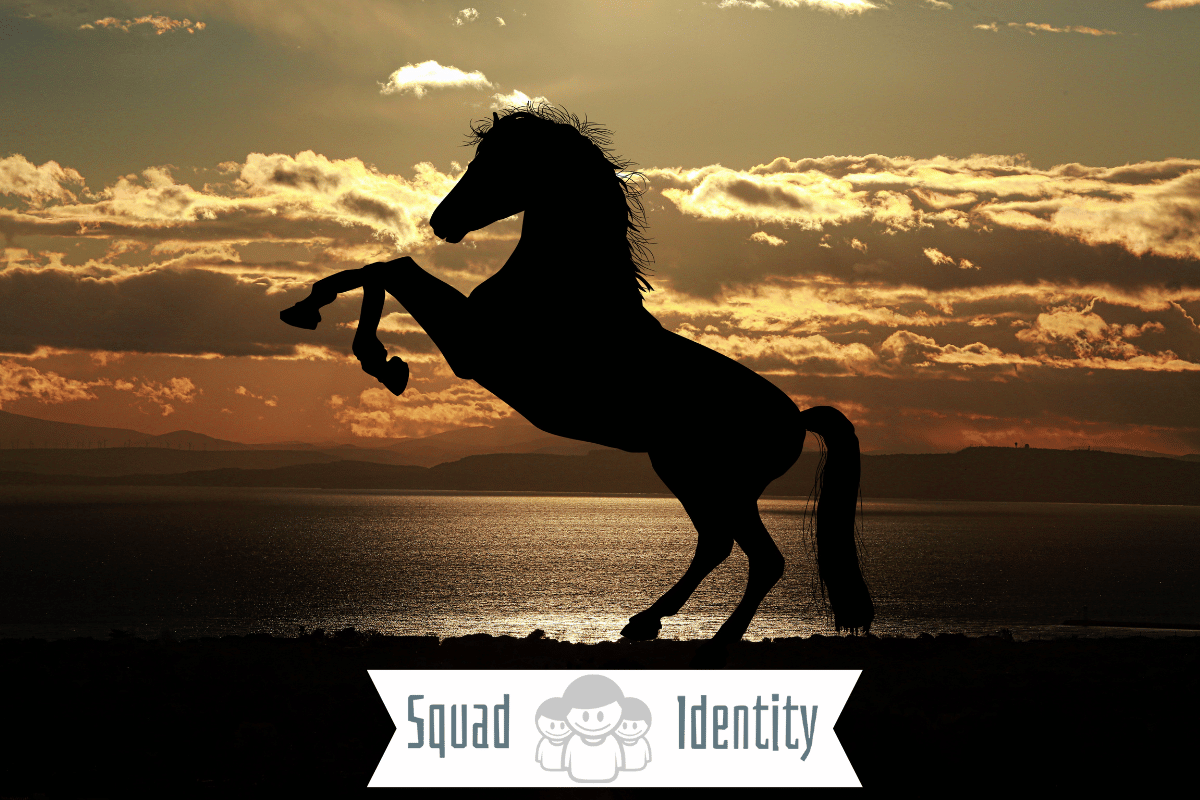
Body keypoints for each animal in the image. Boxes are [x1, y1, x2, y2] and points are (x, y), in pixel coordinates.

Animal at [280, 104, 872, 664]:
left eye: (497, 162)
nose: (441, 220)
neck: (565, 287)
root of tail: (796, 418)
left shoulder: (473, 347)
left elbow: (392, 268)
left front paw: (375, 356)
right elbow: (382, 268)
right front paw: (318, 316)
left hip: (715, 480)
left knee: (759, 558)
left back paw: (707, 647)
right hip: (688, 473)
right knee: (717, 544)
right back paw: (645, 623)